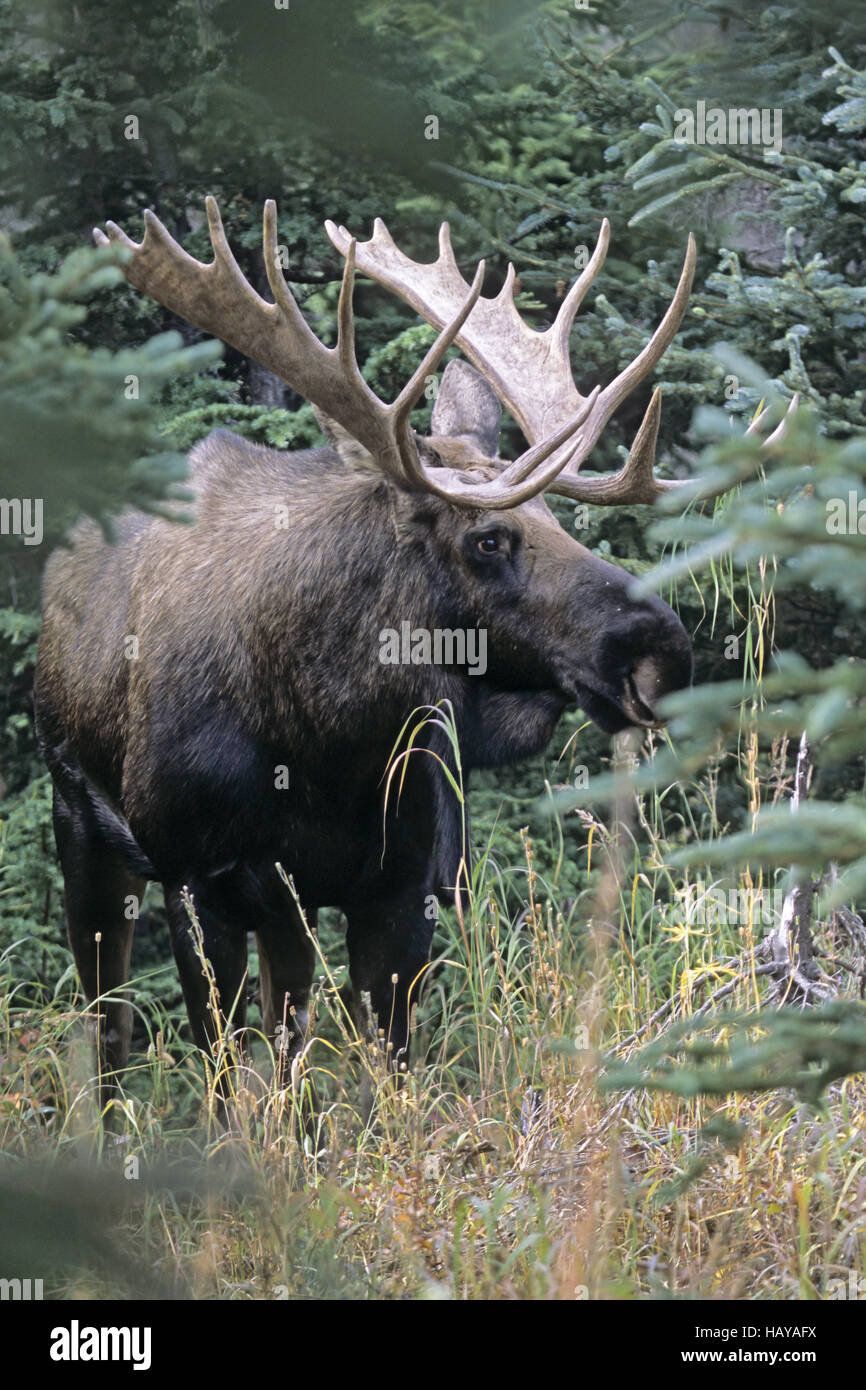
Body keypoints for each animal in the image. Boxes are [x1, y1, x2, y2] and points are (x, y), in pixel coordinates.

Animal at [33, 197, 794, 1120]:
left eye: (559, 520)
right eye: (488, 538)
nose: (662, 652)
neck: (325, 740)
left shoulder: (401, 889)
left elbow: (383, 1079)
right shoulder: (198, 875)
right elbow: (220, 1081)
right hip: (83, 822)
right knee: (108, 1032)